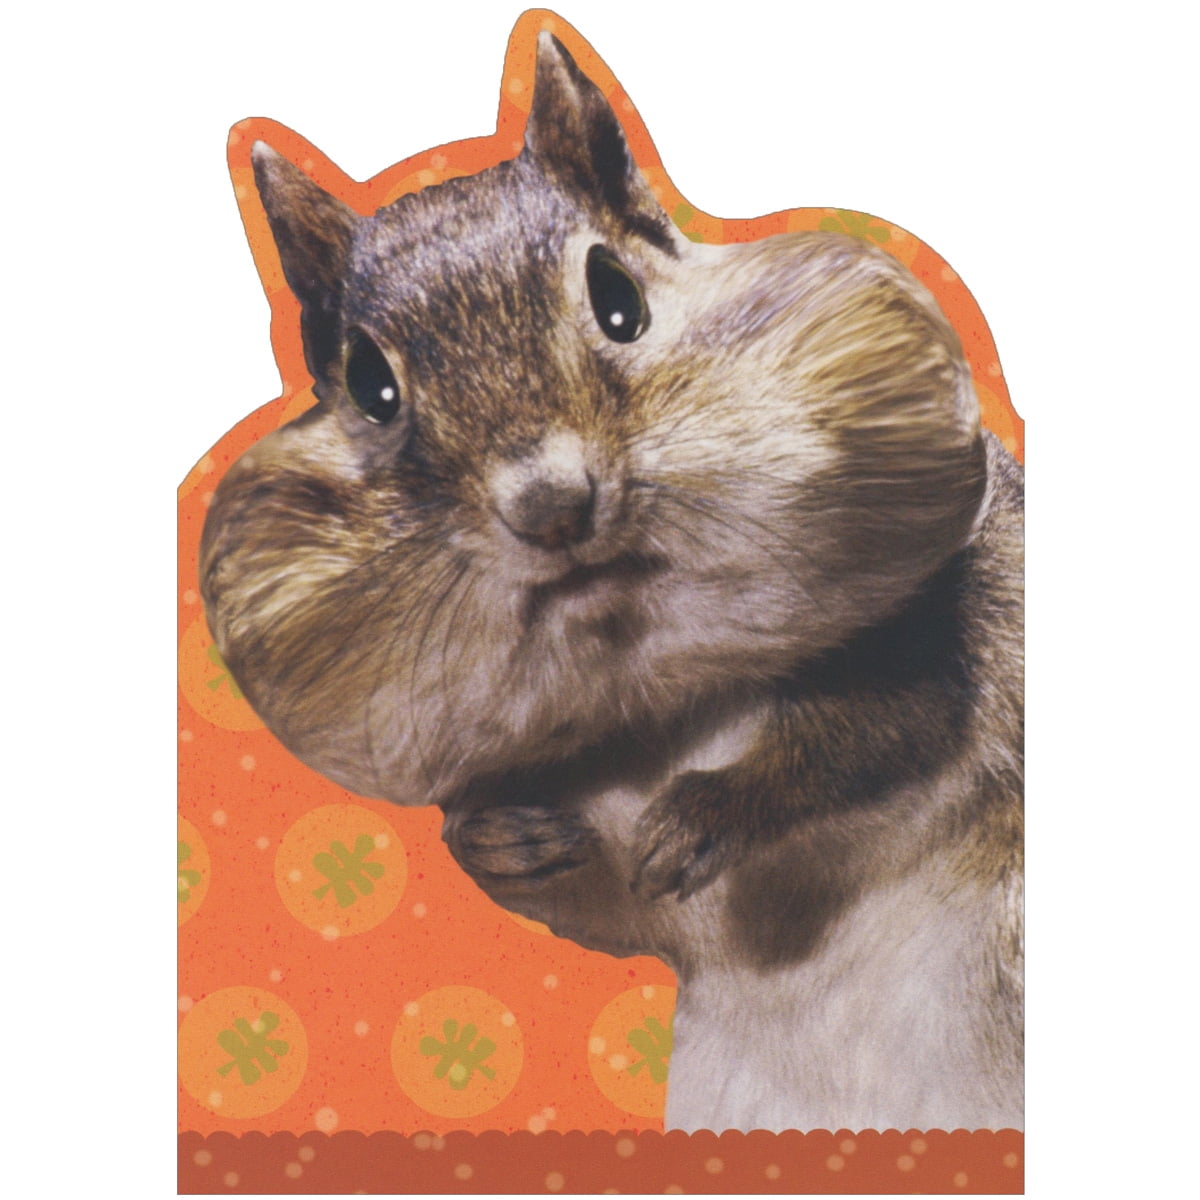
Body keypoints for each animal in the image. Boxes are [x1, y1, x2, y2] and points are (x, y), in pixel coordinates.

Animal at [200, 32, 1023, 1132]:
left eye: (618, 297)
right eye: (369, 387)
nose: (552, 506)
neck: (651, 693)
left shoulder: (940, 637)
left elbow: (878, 731)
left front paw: (707, 813)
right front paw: (497, 838)